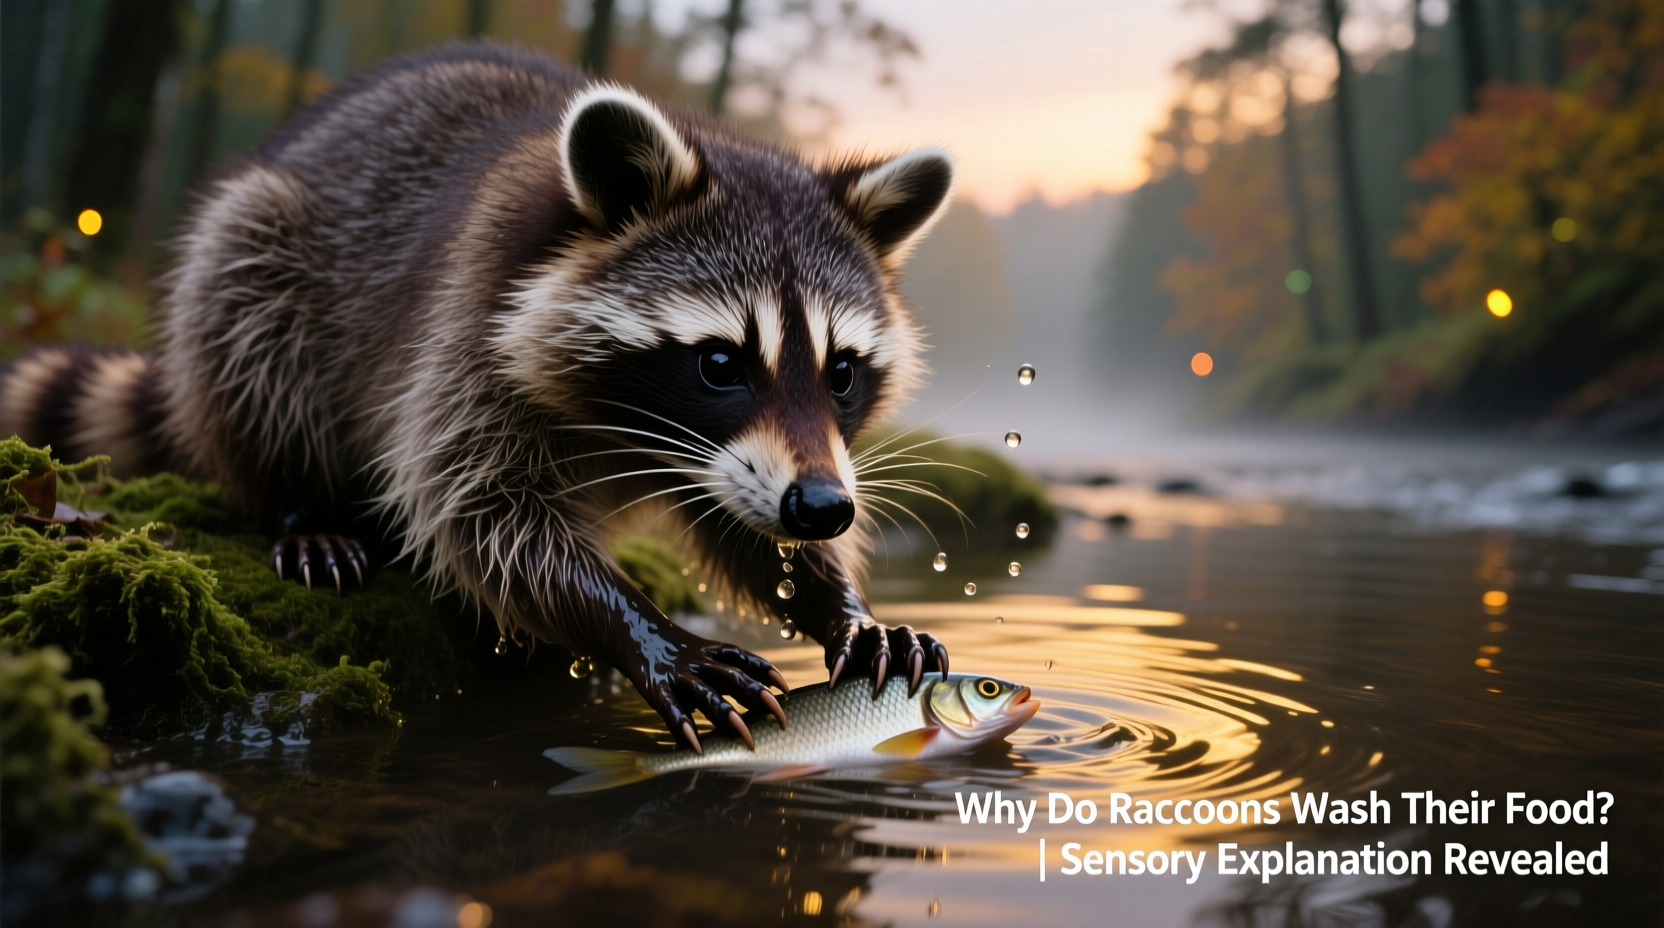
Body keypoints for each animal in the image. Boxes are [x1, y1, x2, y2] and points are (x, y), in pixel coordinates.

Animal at [0, 44, 955, 751]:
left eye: (841, 372)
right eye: (720, 363)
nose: (823, 509)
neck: (637, 435)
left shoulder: (745, 459)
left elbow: (747, 526)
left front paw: (837, 601)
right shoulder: (470, 327)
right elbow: (480, 511)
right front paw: (638, 627)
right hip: (263, 247)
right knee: (248, 319)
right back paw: (299, 501)